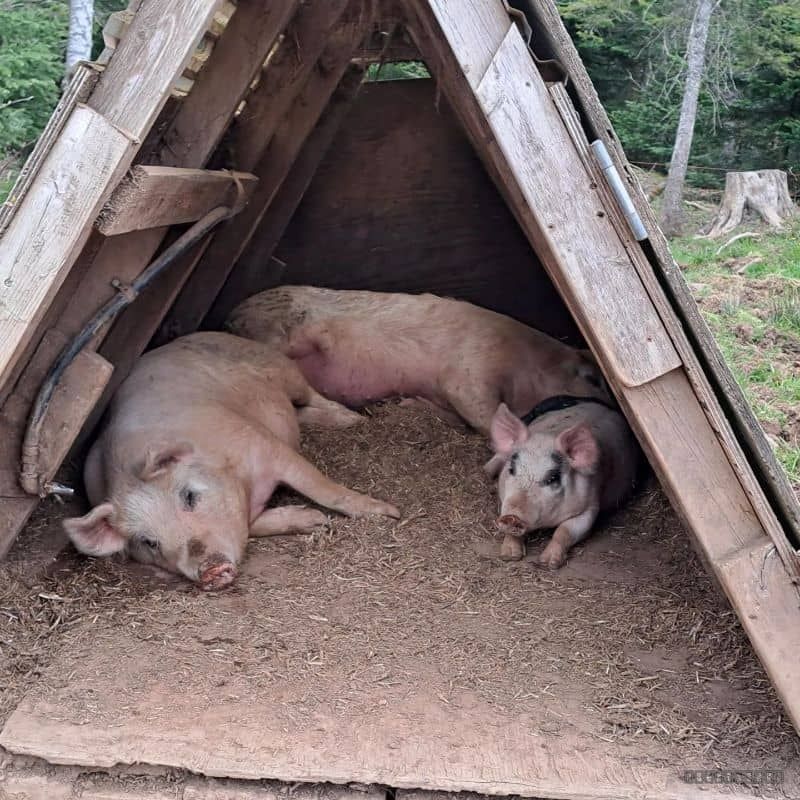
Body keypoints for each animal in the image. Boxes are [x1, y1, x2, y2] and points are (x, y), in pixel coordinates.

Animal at [62, 332, 399, 590]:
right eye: (149, 542)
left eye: (189, 496)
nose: (210, 569)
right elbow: (255, 527)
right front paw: (316, 522)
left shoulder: (265, 445)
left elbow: (321, 486)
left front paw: (388, 514)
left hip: (280, 368)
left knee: (310, 396)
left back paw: (353, 419)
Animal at [225, 286, 613, 437]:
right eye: (592, 379)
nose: (613, 408)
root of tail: (231, 317)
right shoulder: (469, 372)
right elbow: (484, 415)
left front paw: (407, 404)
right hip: (277, 337)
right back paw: (354, 418)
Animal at [487, 396, 639, 569]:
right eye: (512, 470)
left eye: (552, 478)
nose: (511, 517)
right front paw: (509, 555)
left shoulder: (589, 506)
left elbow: (564, 531)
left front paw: (548, 563)